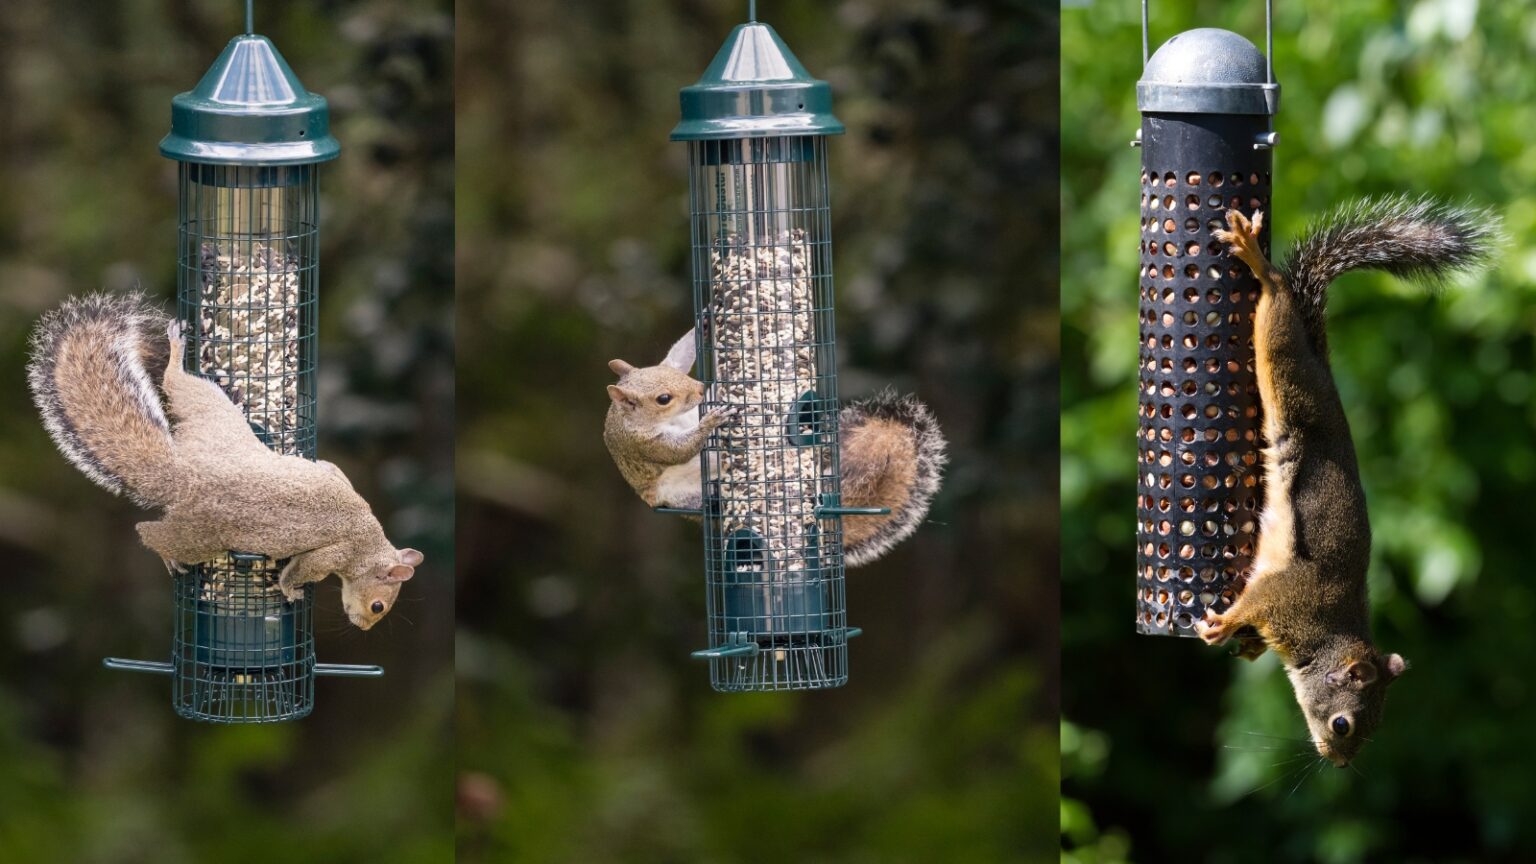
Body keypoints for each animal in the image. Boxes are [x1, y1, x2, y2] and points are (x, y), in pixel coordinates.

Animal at [27, 292, 422, 631]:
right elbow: (299, 570)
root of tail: (185, 477)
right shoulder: (335, 553)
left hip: (213, 421)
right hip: (200, 534)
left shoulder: (337, 480)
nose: (362, 626)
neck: (368, 540)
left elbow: (328, 467)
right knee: (149, 531)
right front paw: (290, 590)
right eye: (378, 606)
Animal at [605, 328, 947, 567]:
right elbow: (678, 451)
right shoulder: (643, 445)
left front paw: (704, 323)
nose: (700, 390)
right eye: (663, 398)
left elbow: (678, 354)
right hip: (682, 497)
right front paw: (710, 422)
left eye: (677, 375)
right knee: (705, 502)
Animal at [1196, 197, 1496, 766]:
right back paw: (1259, 264)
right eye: (1343, 724)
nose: (1337, 762)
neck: (1326, 639)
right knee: (1276, 306)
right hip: (1290, 373)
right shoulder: (1289, 597)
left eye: (1371, 729)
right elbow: (1258, 598)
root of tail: (1327, 378)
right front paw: (1225, 624)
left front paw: (1247, 643)